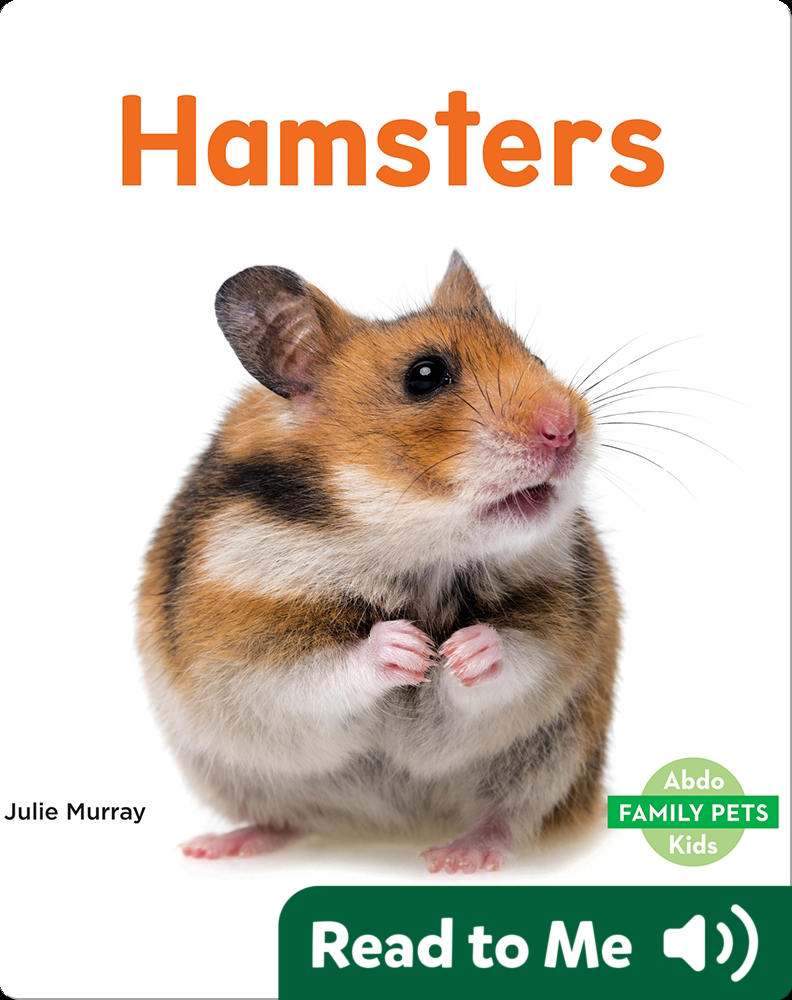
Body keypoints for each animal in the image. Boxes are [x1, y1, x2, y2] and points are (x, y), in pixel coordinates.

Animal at [136, 252, 620, 874]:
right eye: (425, 375)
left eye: (535, 357)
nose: (566, 430)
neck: (415, 550)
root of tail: (381, 828)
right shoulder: (240, 649)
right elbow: (319, 672)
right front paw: (407, 647)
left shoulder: (560, 624)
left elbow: (517, 657)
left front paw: (460, 651)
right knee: (287, 818)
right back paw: (215, 847)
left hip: (555, 759)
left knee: (509, 818)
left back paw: (459, 857)